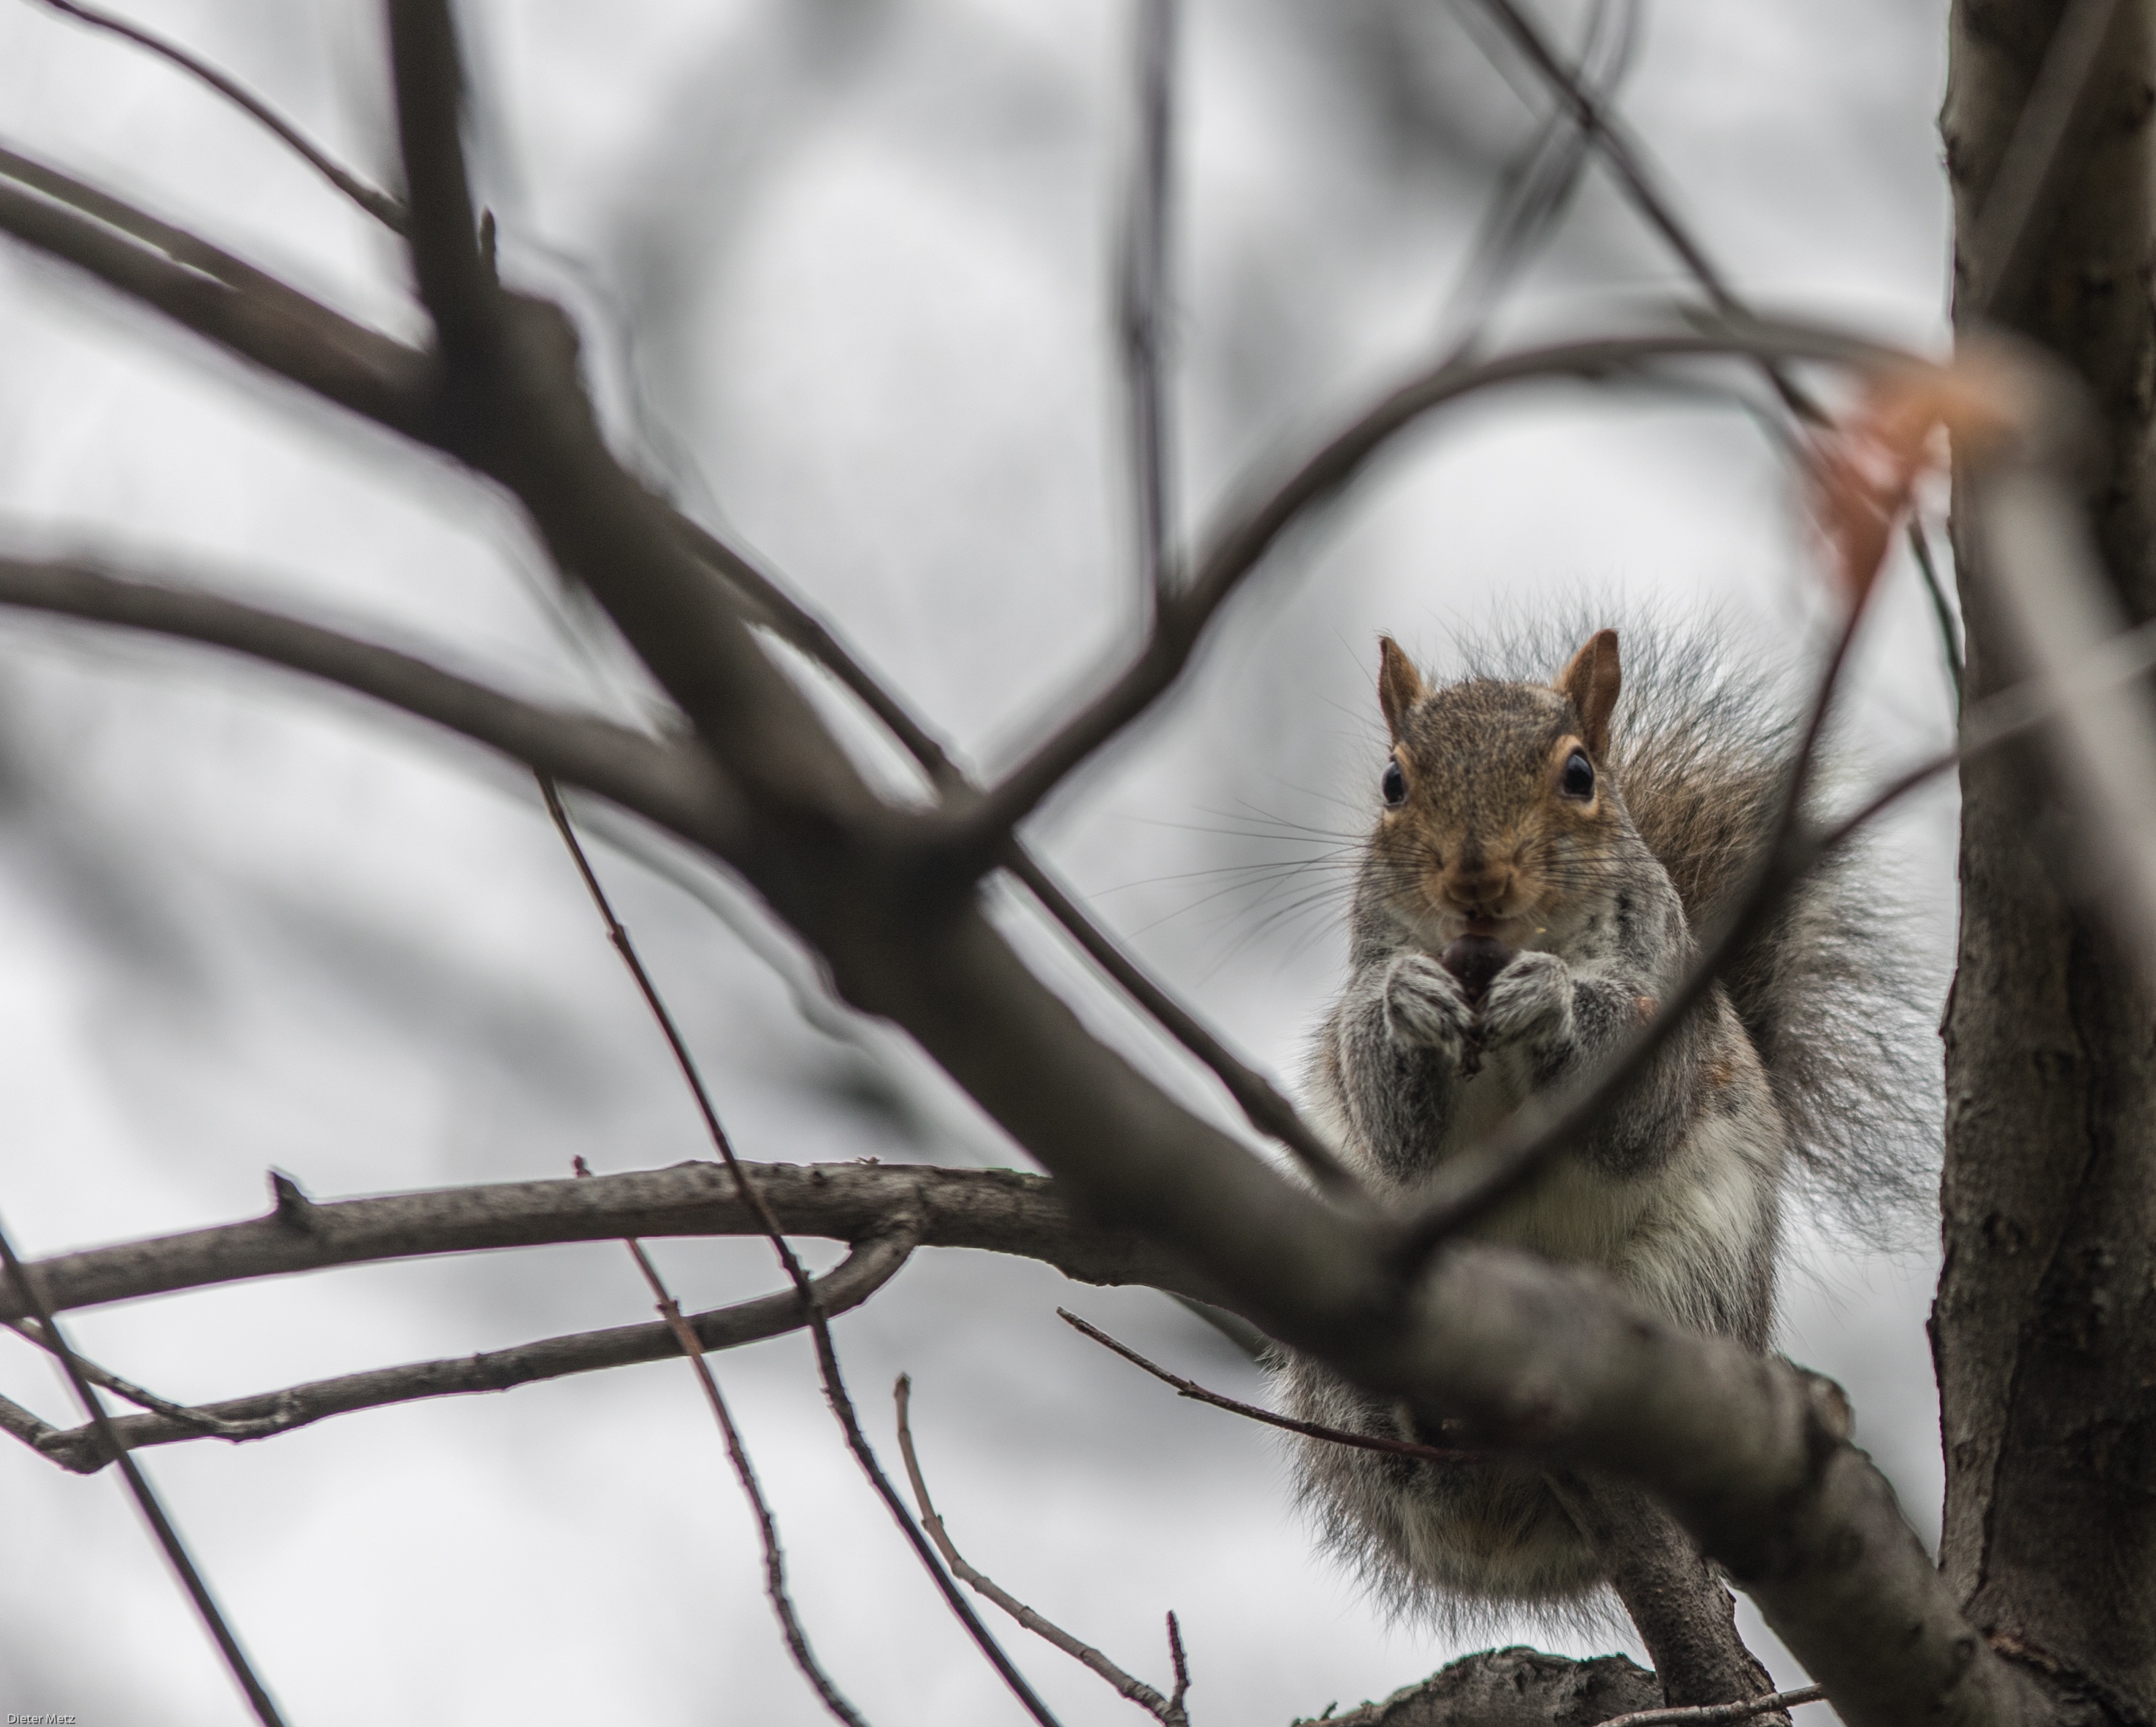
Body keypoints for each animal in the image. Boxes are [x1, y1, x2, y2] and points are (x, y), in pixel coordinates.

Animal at [1273, 619, 1934, 1620]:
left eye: (1579, 774)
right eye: (1392, 783)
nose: (1475, 875)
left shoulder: (1667, 1004)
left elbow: (1634, 1115)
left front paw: (1550, 996)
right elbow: (1392, 1121)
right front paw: (1408, 1000)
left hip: (1694, 1280)